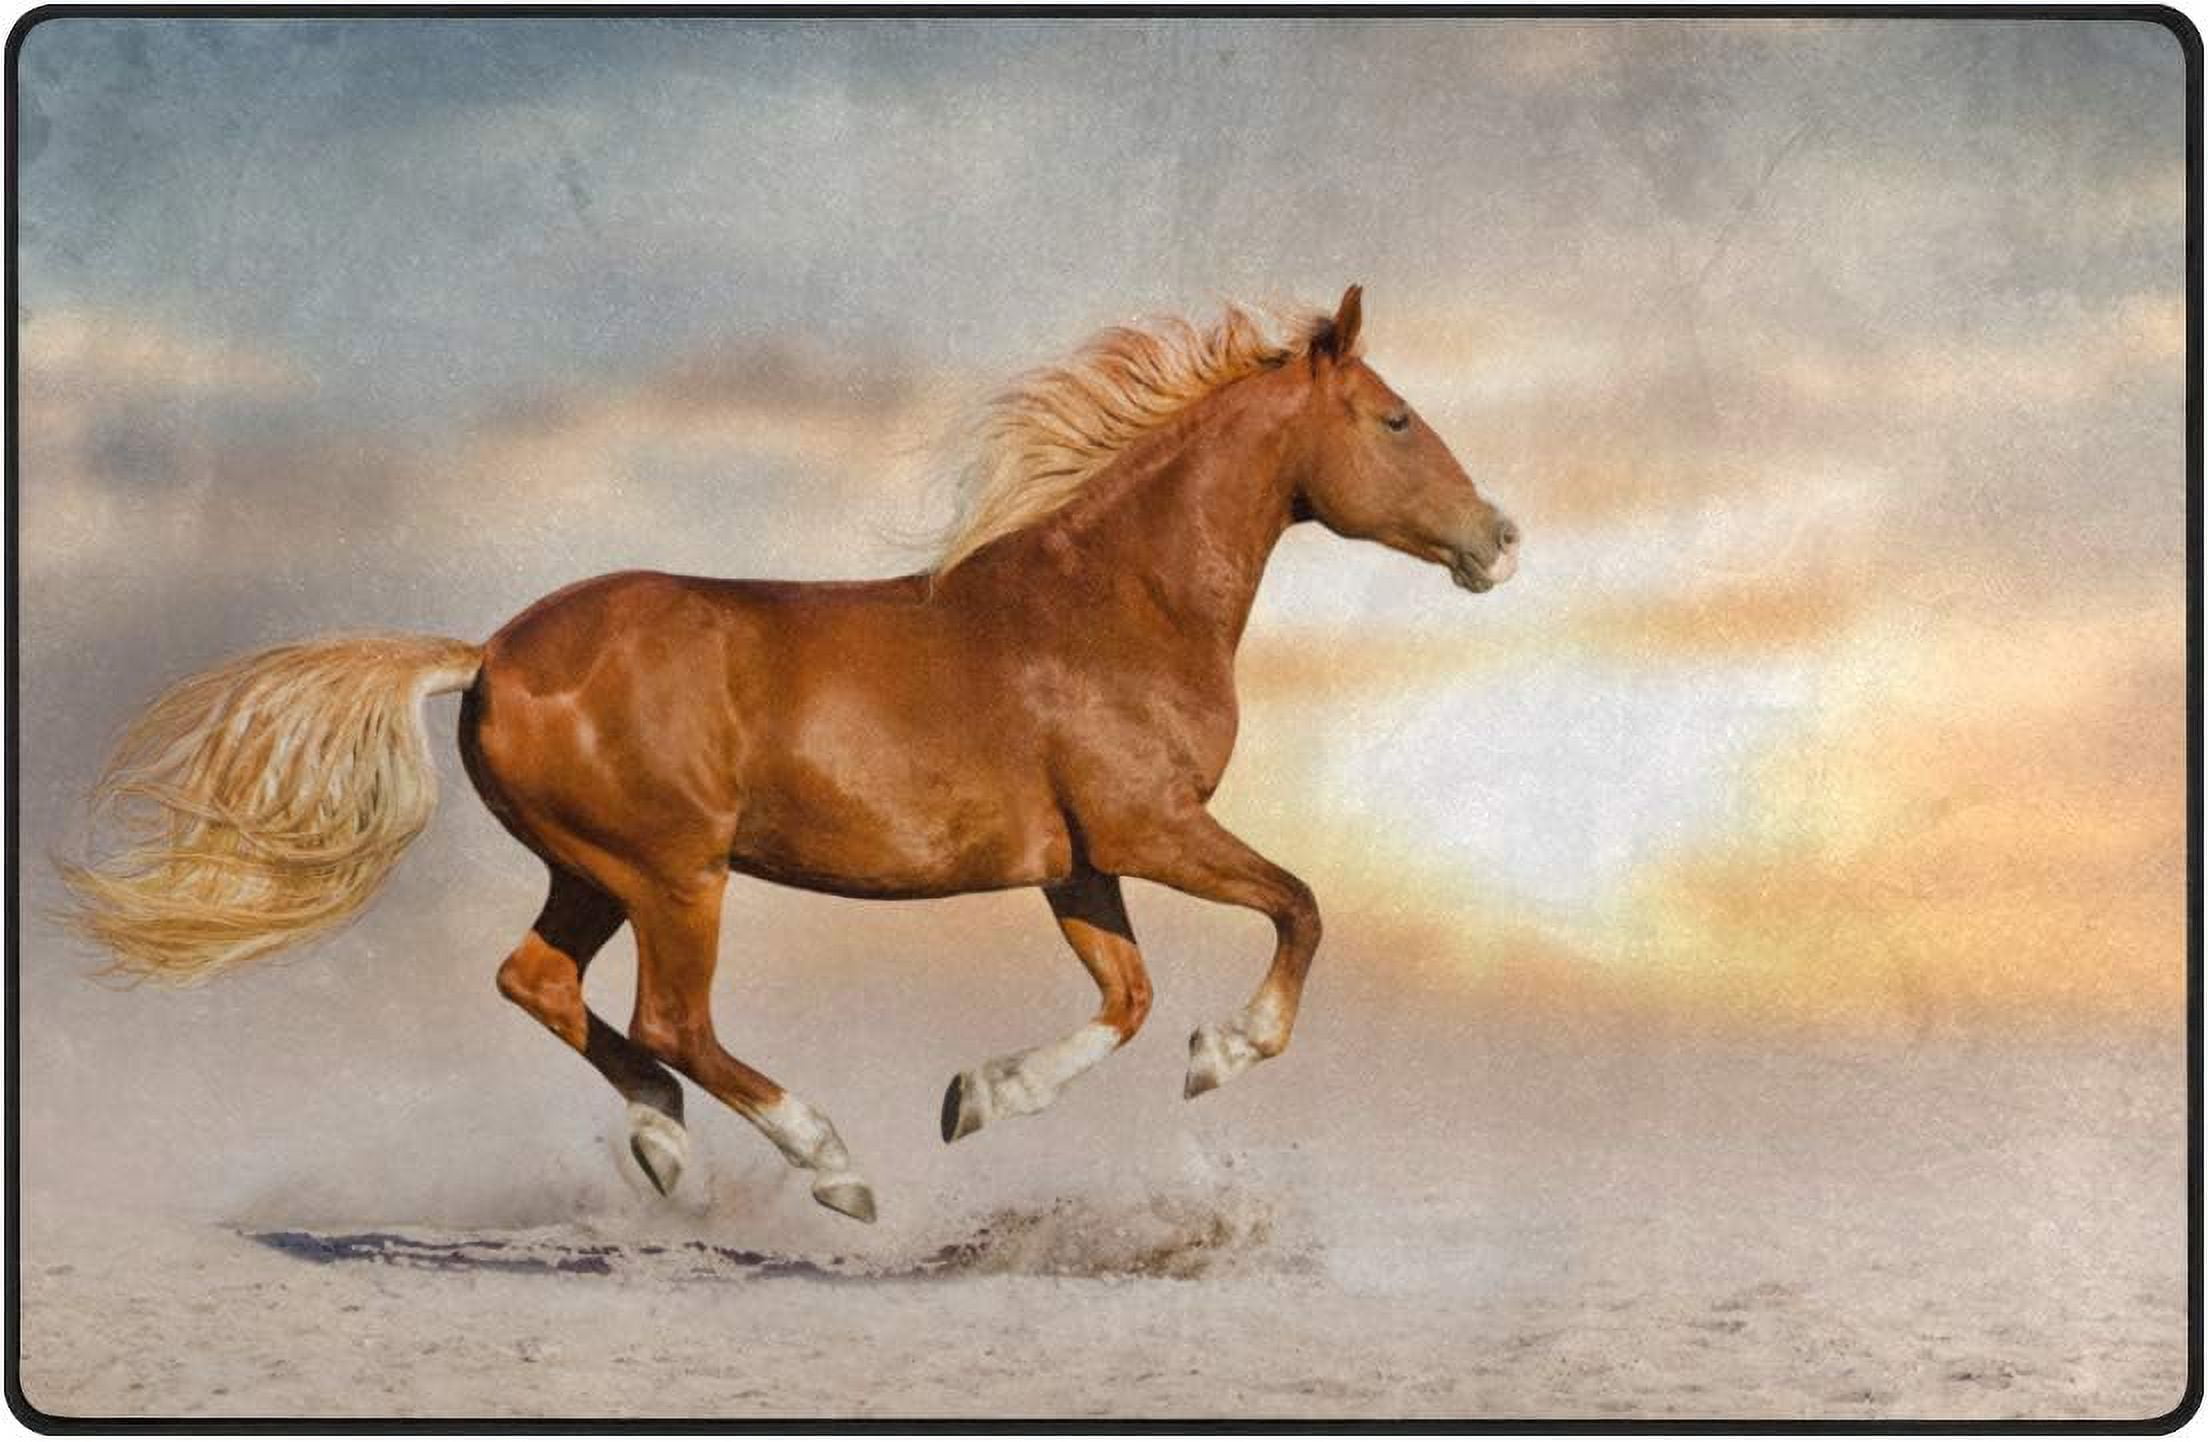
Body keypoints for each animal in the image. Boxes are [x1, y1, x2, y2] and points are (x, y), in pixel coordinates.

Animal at [62, 285, 1519, 1224]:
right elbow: (1298, 908)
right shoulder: (1149, 827)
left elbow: (1128, 997)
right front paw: (1225, 1054)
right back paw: (828, 1162)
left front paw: (978, 1095)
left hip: (593, 868)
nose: (1498, 540)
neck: (1113, 602)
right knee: (672, 1018)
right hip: (676, 872)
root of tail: (489, 654)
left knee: (542, 981)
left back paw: (662, 1143)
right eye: (1395, 418)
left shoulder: (1077, 861)